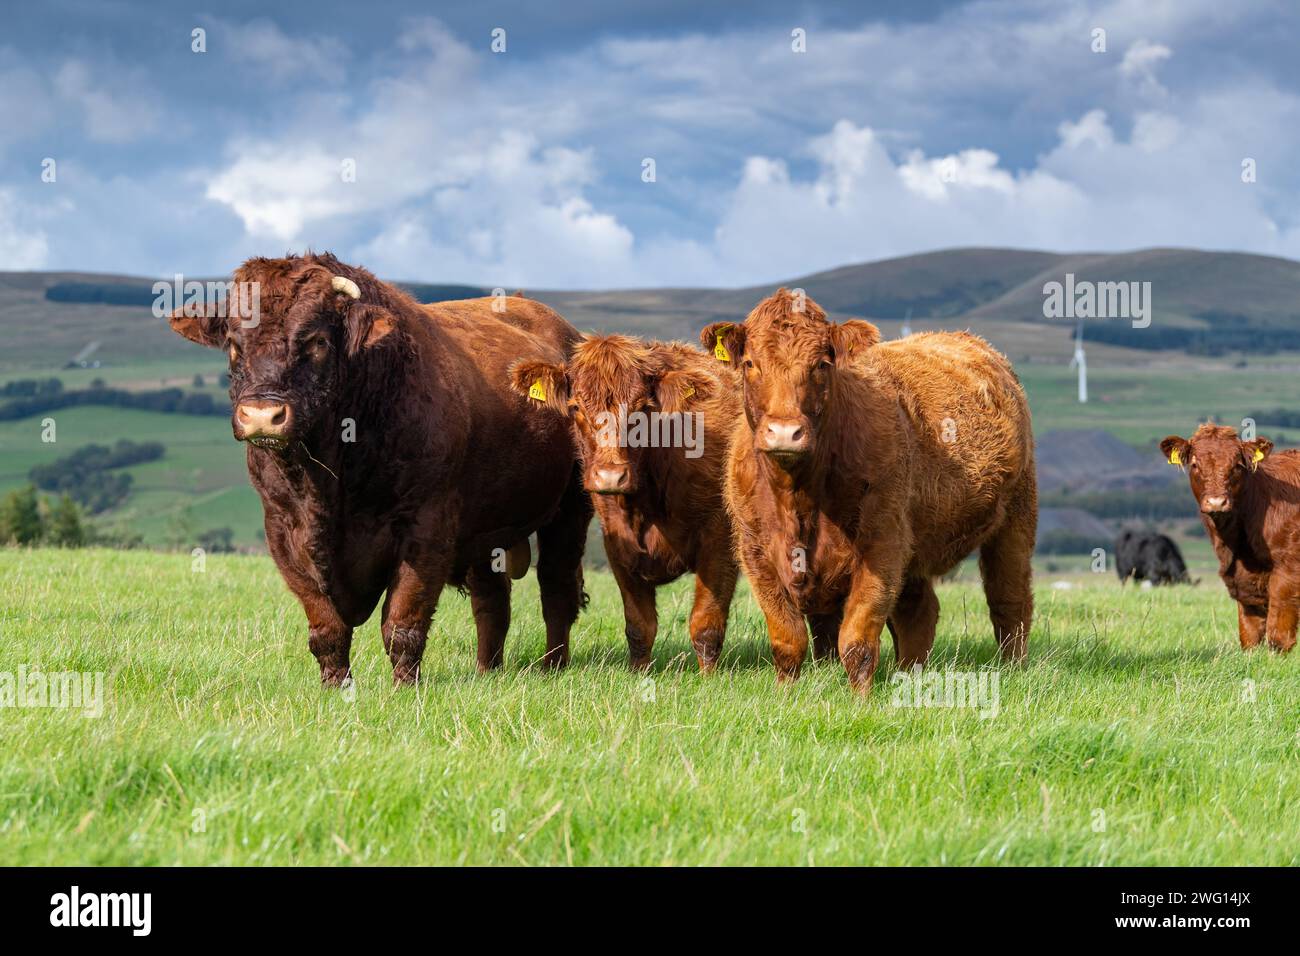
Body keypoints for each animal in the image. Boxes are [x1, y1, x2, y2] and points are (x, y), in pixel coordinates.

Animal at [168, 252, 592, 686]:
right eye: (234, 345)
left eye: (317, 340)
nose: (261, 416)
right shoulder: (283, 530)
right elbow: (327, 628)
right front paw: (335, 687)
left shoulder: (426, 527)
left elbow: (402, 623)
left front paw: (405, 686)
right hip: (488, 527)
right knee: (491, 601)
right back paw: (487, 671)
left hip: (571, 507)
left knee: (556, 588)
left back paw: (553, 666)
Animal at [510, 336, 741, 671]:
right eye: (576, 407)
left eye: (642, 409)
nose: (610, 475)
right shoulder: (617, 542)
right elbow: (639, 625)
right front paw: (638, 673)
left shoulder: (719, 540)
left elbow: (706, 624)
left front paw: (708, 677)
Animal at [701, 288, 1037, 695]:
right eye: (750, 363)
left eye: (821, 364)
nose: (784, 432)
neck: (799, 496)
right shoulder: (755, 552)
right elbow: (787, 638)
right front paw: (785, 695)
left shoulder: (882, 544)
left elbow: (857, 639)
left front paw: (861, 698)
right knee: (920, 611)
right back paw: (910, 674)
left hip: (1016, 519)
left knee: (1009, 601)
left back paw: (1014, 669)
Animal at [1161, 424, 1297, 652]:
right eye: (1195, 464)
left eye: (1237, 465)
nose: (1216, 502)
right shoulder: (1243, 582)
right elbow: (1250, 635)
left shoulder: (1287, 572)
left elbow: (1278, 635)